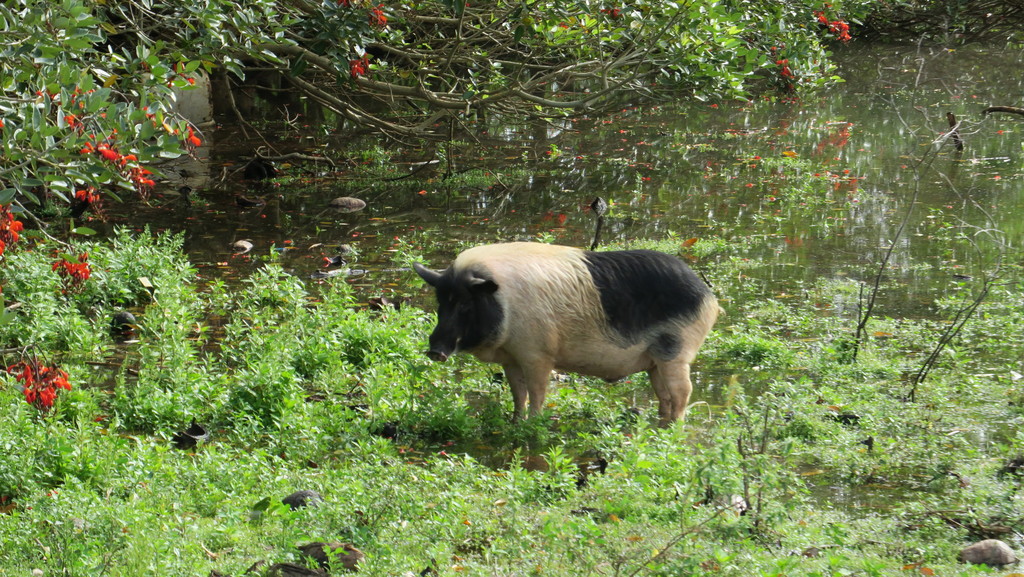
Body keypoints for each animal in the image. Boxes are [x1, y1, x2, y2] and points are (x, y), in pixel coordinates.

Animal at [413, 242, 719, 426]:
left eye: (465, 303)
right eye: (441, 302)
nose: (435, 350)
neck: (505, 306)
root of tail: (707, 295)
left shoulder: (538, 353)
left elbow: (537, 392)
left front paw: (534, 425)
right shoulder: (511, 358)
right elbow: (517, 393)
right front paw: (515, 422)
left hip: (677, 350)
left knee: (683, 392)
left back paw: (674, 430)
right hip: (655, 360)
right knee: (664, 395)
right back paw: (660, 425)